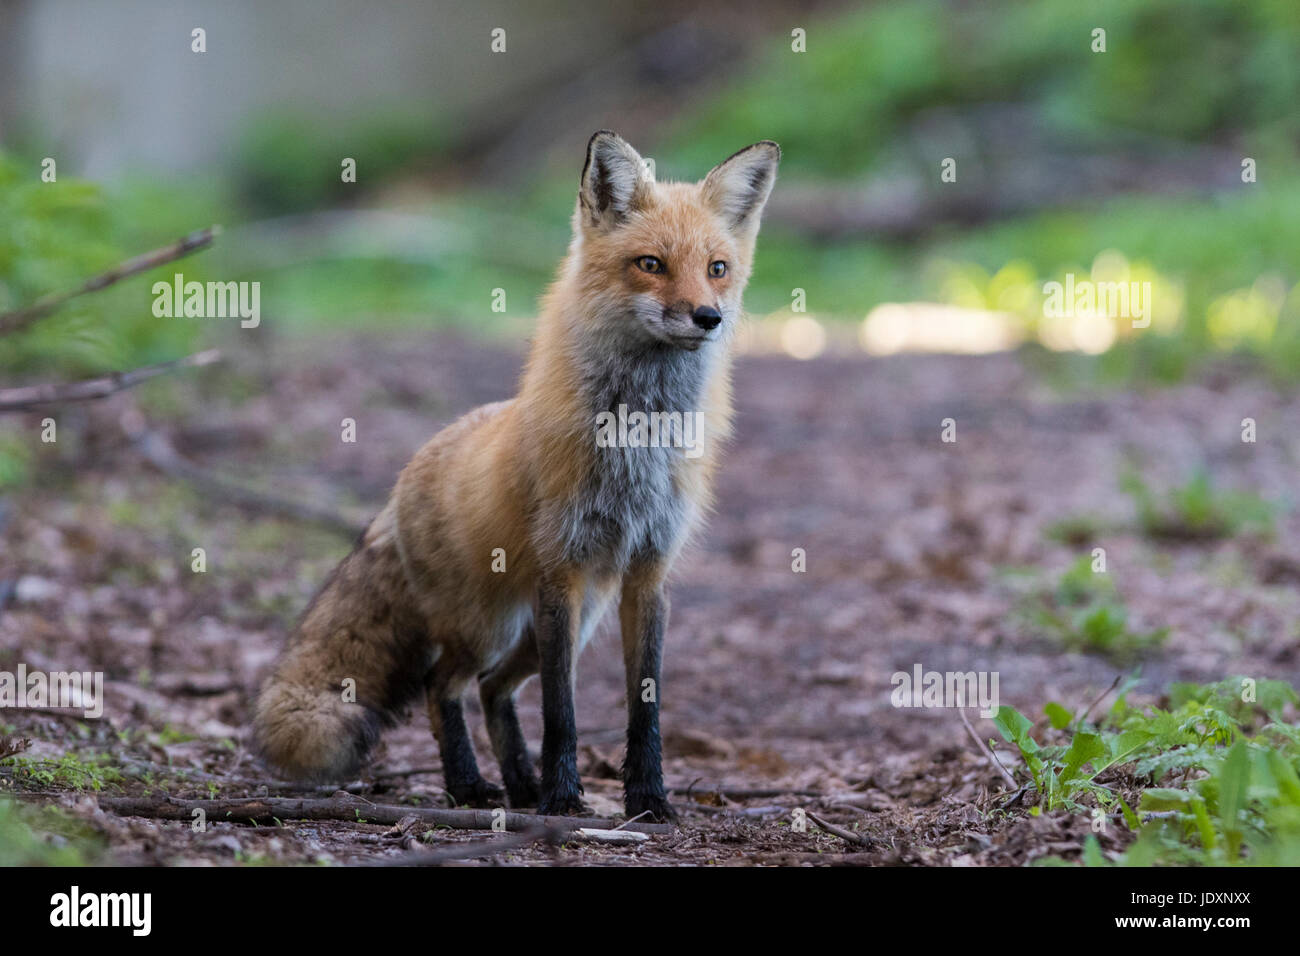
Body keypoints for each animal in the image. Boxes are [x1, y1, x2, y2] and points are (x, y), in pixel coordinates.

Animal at [252, 131, 780, 821]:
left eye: (718, 268)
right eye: (651, 264)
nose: (708, 317)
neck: (635, 444)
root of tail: (407, 476)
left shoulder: (648, 575)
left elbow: (646, 705)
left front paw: (646, 798)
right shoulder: (563, 572)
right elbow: (562, 710)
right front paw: (562, 798)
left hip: (563, 623)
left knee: (492, 689)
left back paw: (519, 785)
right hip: (492, 625)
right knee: (442, 685)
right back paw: (470, 786)